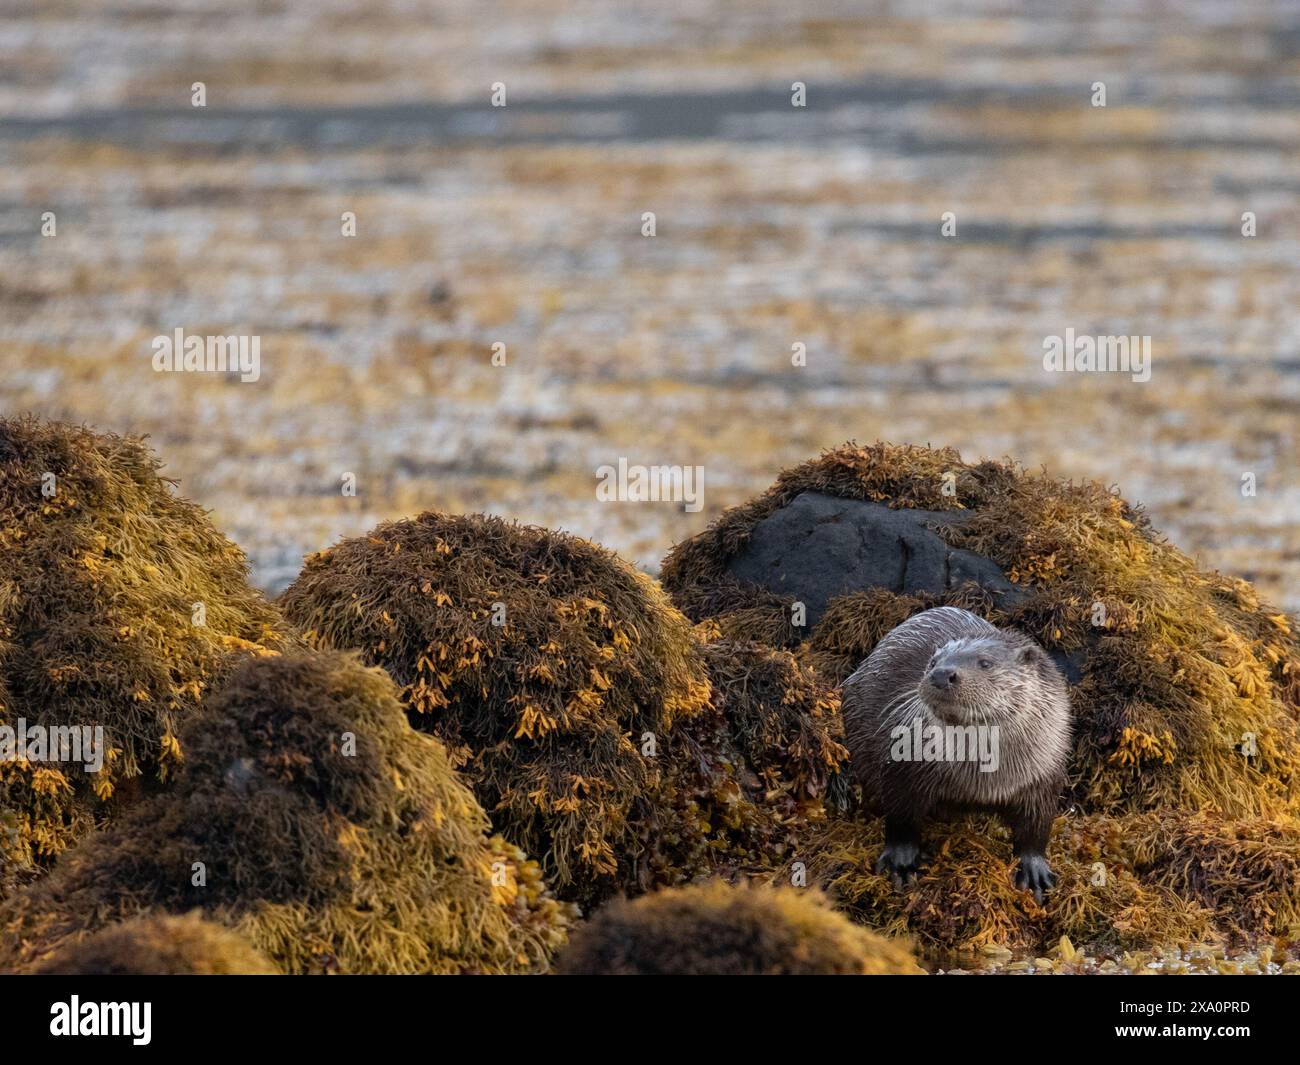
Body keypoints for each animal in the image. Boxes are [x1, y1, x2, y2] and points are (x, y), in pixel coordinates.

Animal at [840, 606, 1071, 902]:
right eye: (932, 662)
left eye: (985, 663)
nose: (941, 674)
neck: (985, 778)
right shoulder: (903, 766)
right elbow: (901, 817)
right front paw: (902, 862)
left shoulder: (1044, 775)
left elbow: (1036, 828)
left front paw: (1034, 871)